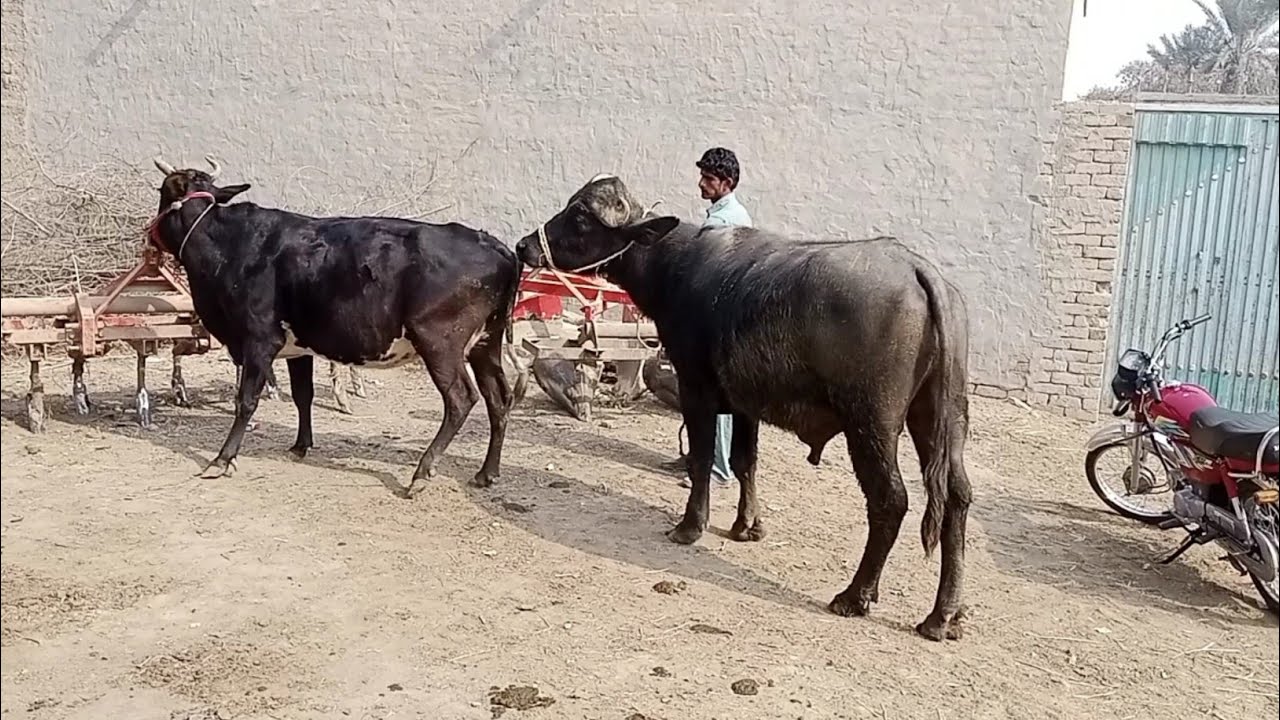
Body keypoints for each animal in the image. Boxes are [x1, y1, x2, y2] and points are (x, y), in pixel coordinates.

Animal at [148, 156, 520, 494]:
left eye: (163, 192)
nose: (150, 236)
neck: (230, 246)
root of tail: (493, 243)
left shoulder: (258, 340)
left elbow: (247, 400)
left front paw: (222, 459)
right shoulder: (298, 346)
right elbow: (303, 394)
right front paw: (301, 445)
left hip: (440, 343)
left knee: (460, 399)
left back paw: (422, 473)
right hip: (486, 344)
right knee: (498, 398)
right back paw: (486, 473)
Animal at [514, 175, 973, 642]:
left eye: (580, 217)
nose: (524, 246)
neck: (674, 268)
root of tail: (918, 271)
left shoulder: (696, 388)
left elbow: (701, 458)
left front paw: (690, 526)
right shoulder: (745, 403)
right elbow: (744, 461)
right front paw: (746, 525)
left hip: (871, 423)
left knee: (890, 500)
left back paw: (855, 594)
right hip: (941, 420)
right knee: (957, 499)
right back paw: (942, 615)